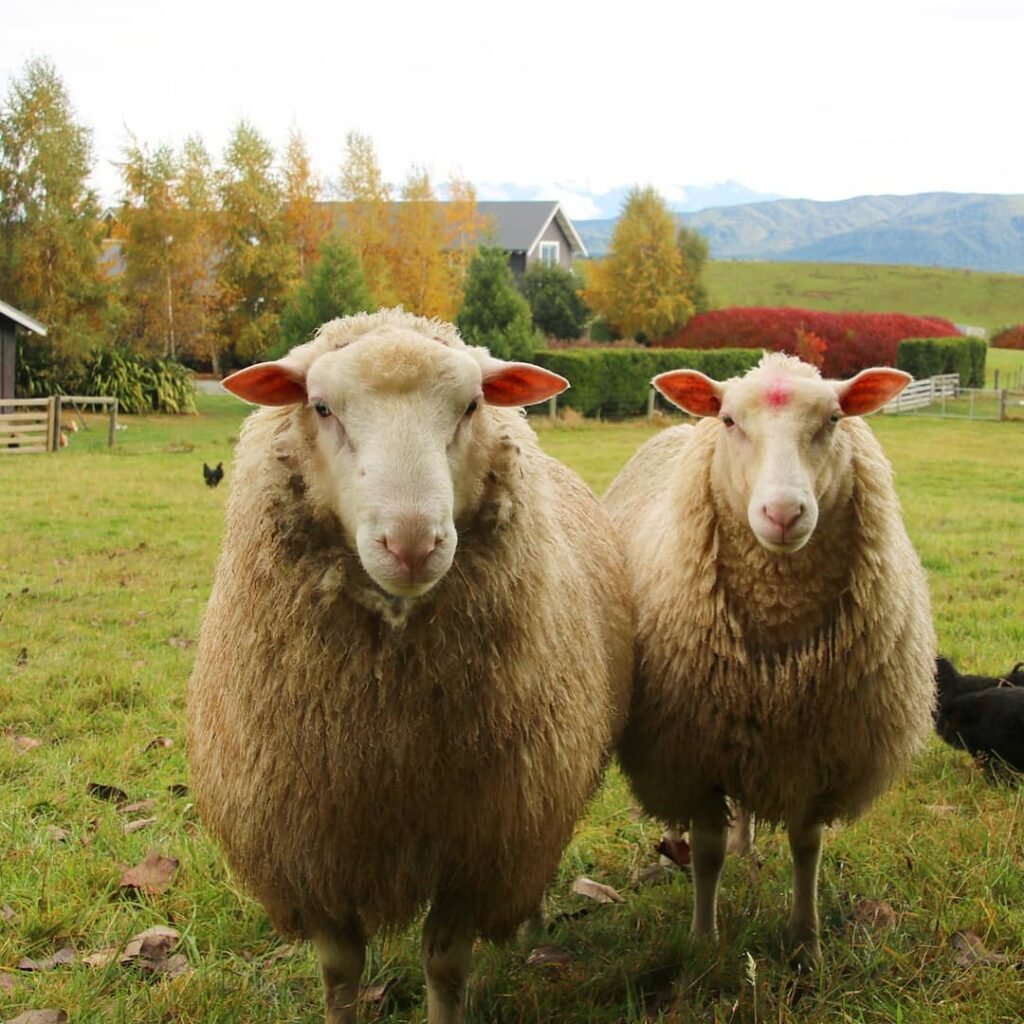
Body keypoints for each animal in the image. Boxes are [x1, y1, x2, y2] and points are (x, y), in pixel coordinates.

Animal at [186, 308, 633, 1024]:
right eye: (321, 407)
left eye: (472, 405)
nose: (413, 544)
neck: (389, 736)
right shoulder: (316, 850)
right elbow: (341, 973)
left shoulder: (480, 850)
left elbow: (445, 967)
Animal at [604, 352, 936, 968]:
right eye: (731, 421)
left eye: (833, 419)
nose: (783, 513)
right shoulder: (697, 751)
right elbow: (707, 854)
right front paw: (703, 942)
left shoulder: (816, 753)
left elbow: (808, 847)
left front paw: (806, 942)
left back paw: (748, 843)